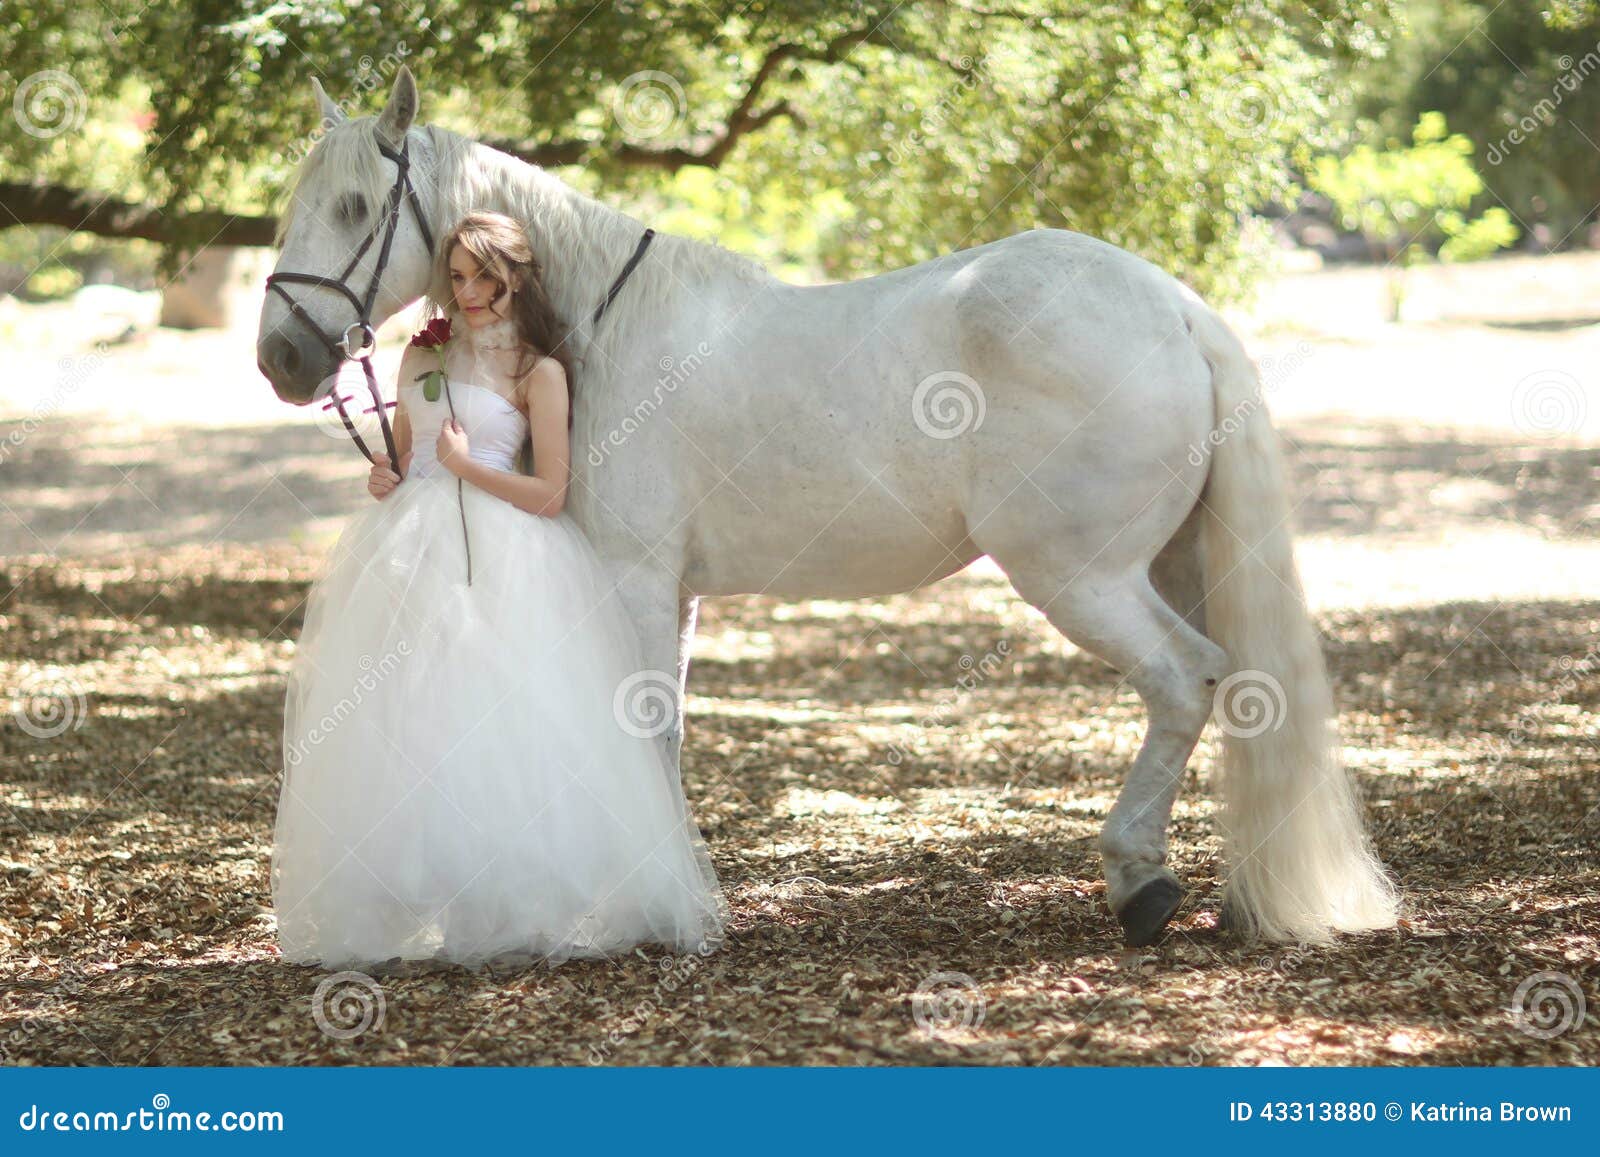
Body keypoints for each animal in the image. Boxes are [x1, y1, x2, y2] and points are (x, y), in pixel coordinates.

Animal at [256, 65, 1399, 947]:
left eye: (354, 208)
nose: (279, 358)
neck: (602, 327)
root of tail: (1172, 305)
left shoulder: (634, 576)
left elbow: (644, 725)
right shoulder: (673, 591)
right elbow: (665, 724)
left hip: (1082, 575)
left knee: (1184, 678)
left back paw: (1139, 880)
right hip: (1171, 560)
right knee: (1236, 690)